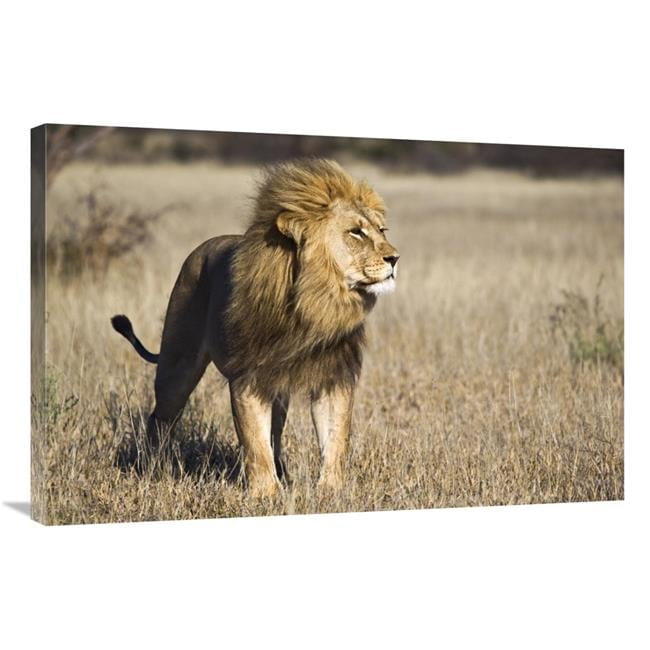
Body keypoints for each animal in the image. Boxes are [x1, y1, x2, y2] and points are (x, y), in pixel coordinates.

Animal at [111, 159, 399, 495]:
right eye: (356, 232)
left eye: (381, 230)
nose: (395, 258)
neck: (314, 304)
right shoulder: (247, 377)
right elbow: (255, 443)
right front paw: (266, 495)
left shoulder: (332, 374)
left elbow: (335, 440)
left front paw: (331, 491)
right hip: (176, 367)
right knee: (160, 418)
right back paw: (153, 469)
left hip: (277, 391)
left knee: (275, 433)